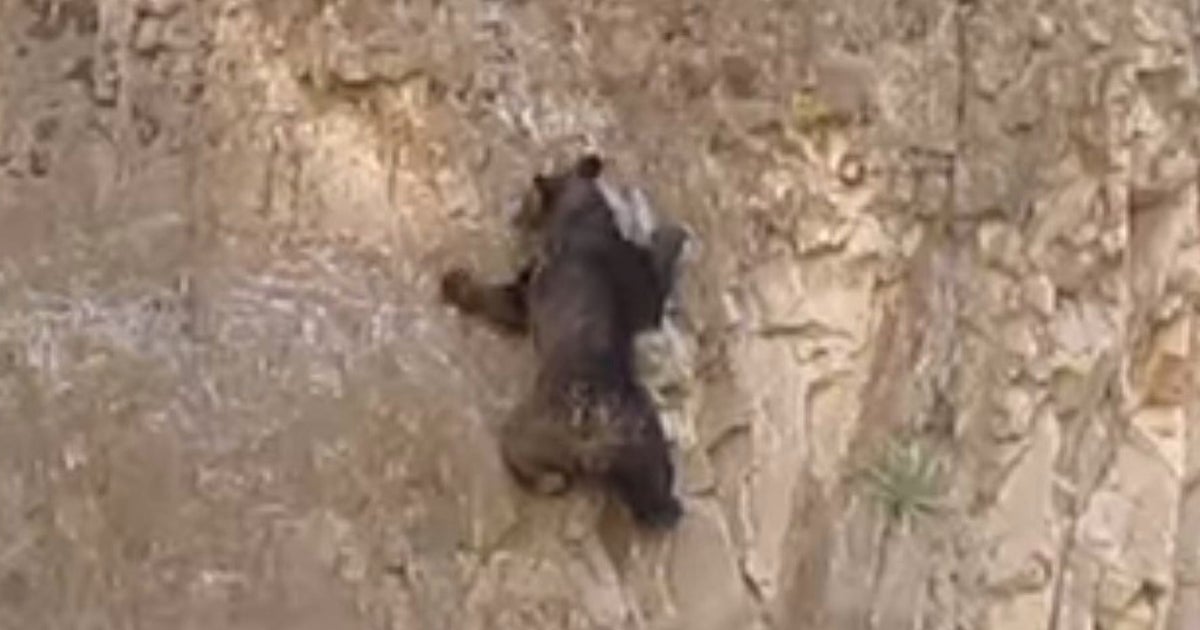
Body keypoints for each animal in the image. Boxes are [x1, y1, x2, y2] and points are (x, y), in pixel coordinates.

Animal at [440, 154, 687, 528]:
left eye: (529, 197)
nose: (515, 212)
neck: (583, 216)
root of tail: (593, 428)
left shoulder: (528, 290)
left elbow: (498, 297)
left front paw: (456, 283)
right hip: (643, 444)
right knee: (654, 486)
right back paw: (666, 508)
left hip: (534, 426)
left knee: (514, 446)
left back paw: (548, 479)